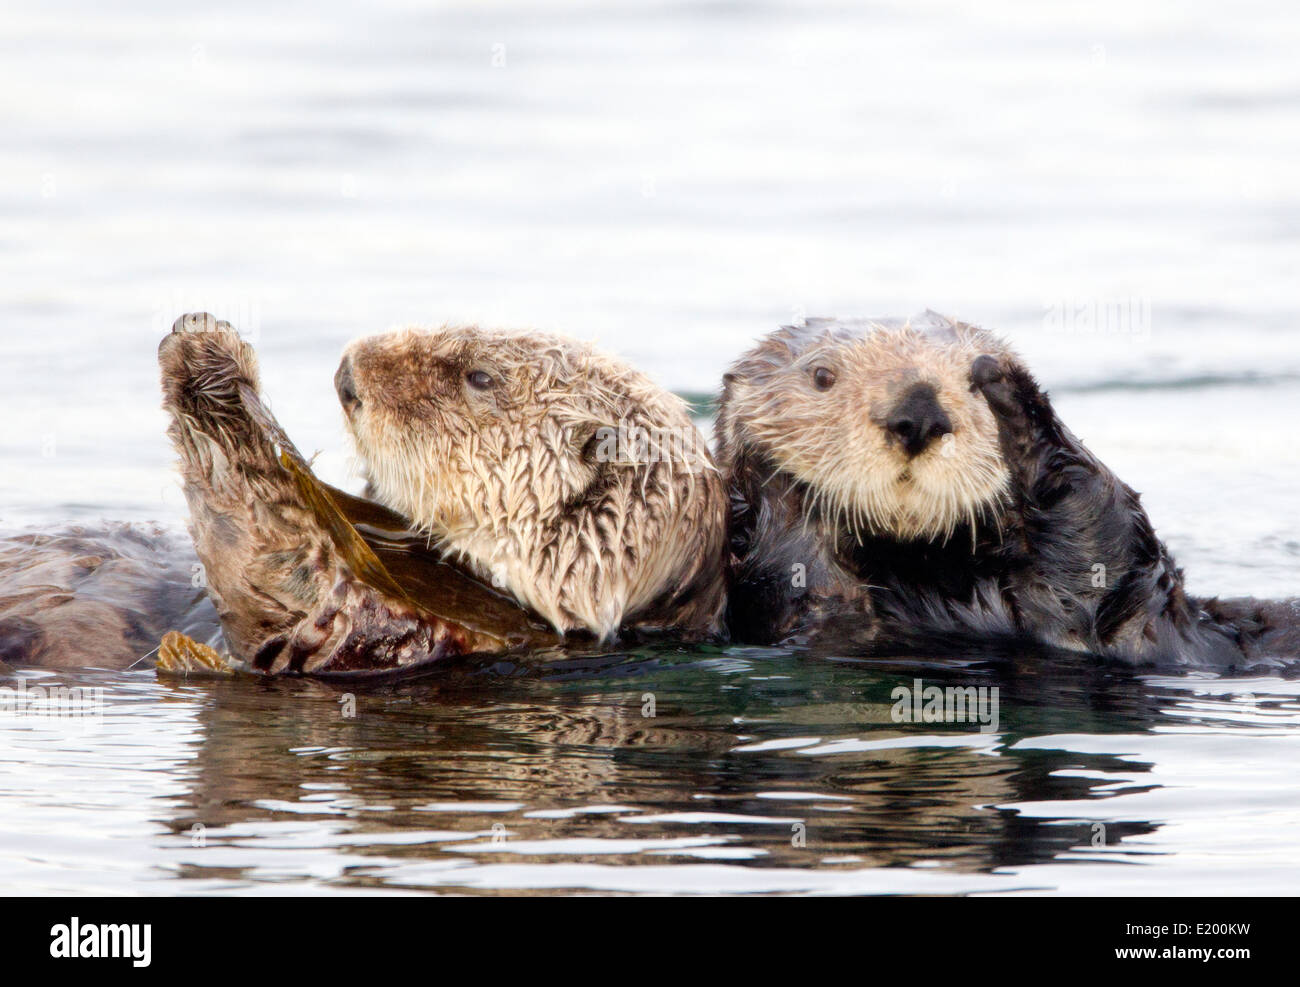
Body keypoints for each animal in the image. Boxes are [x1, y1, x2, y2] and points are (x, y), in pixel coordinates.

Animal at [717, 311, 1300, 668]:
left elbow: (1103, 587)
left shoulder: (1144, 627)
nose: (918, 413)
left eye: (968, 383)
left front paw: (1016, 393)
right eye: (821, 376)